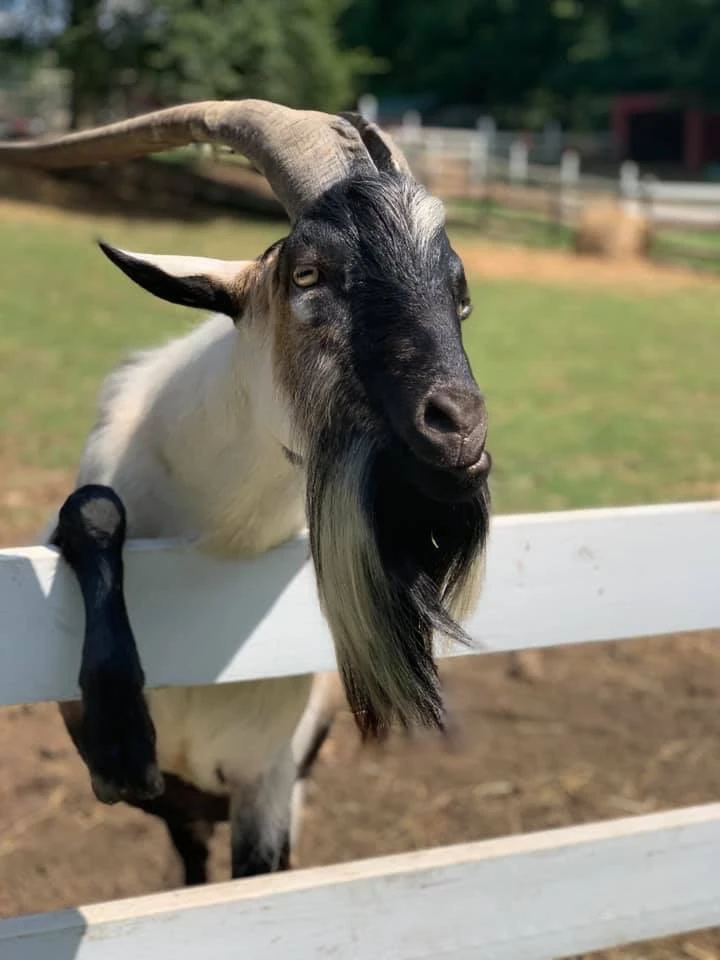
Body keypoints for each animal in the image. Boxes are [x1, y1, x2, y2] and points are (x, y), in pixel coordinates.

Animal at [0, 100, 491, 885]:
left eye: (460, 294)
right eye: (308, 273)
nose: (459, 433)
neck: (219, 545)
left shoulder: (269, 783)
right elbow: (95, 507)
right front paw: (119, 741)